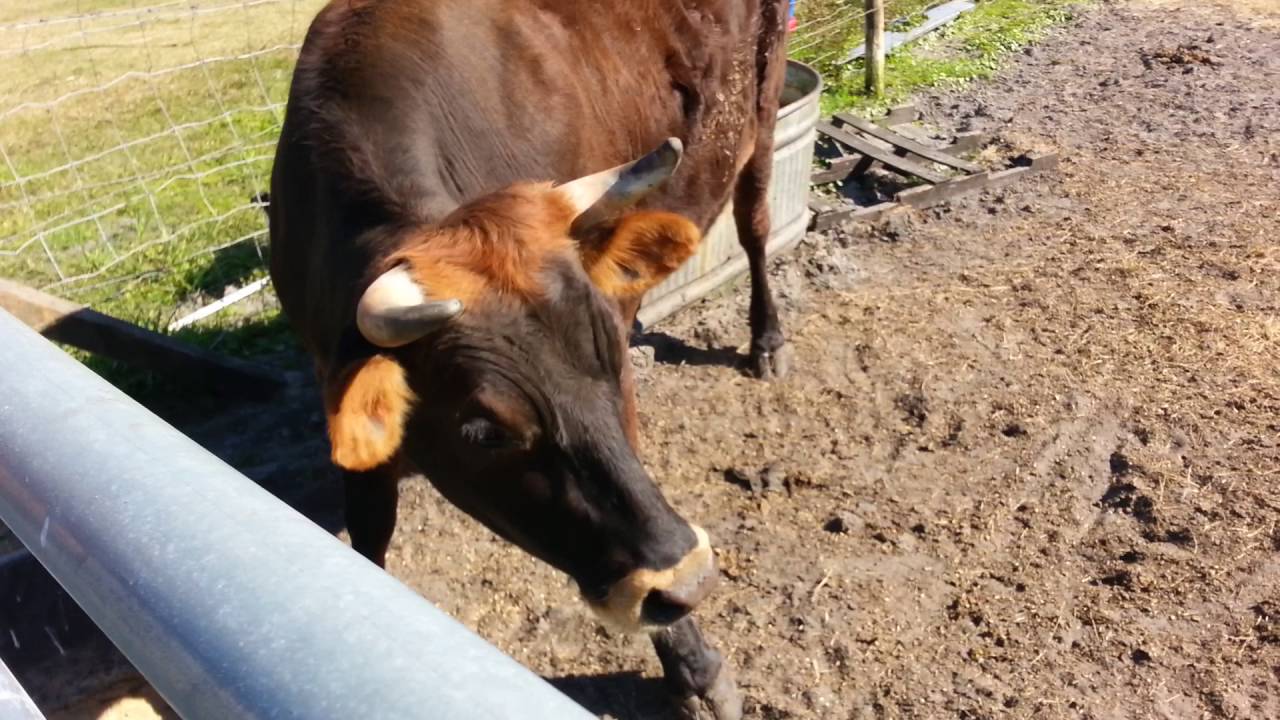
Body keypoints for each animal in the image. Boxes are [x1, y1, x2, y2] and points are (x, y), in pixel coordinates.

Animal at [268, 1, 792, 716]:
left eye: (611, 361)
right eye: (485, 431)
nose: (690, 580)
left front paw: (695, 667)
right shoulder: (344, 385)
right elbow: (369, 529)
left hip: (761, 107)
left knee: (755, 219)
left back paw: (767, 340)